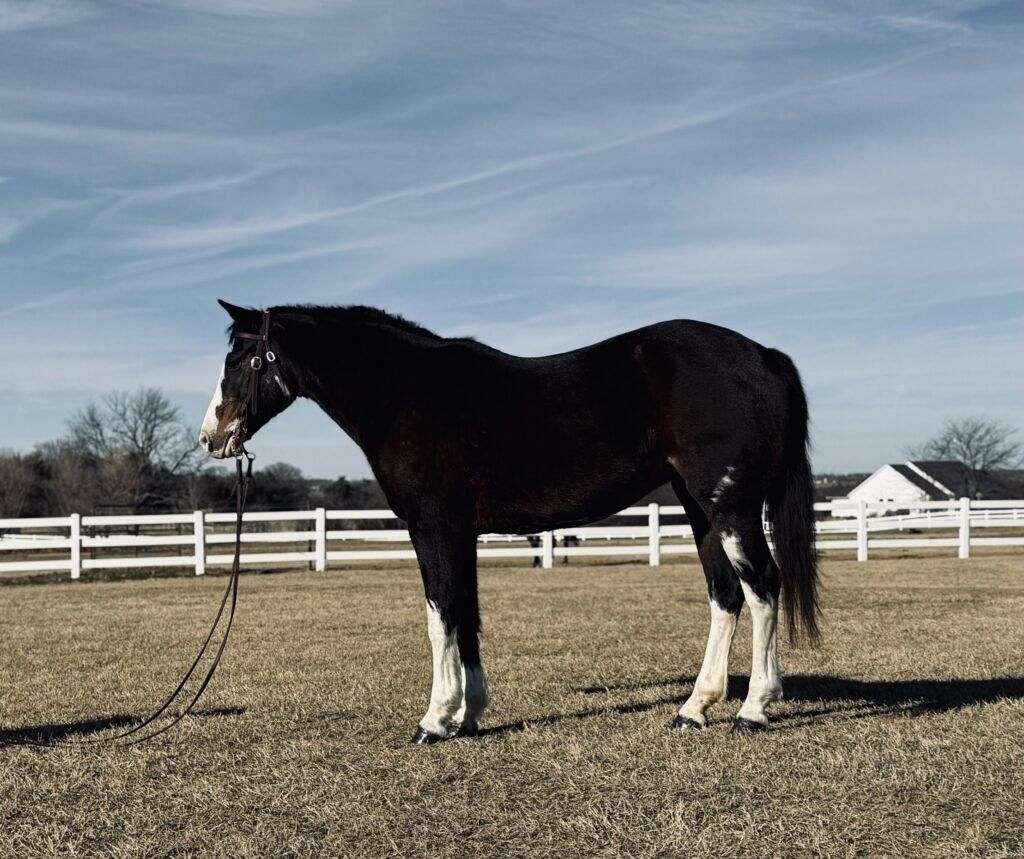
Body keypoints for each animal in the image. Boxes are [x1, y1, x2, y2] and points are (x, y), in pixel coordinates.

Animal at [200, 300, 820, 743]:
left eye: (240, 362)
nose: (212, 437)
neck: (406, 394)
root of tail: (764, 356)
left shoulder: (433, 530)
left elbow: (441, 619)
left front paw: (435, 721)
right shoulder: (462, 536)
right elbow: (467, 618)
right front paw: (469, 715)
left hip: (732, 509)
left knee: (763, 587)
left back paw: (754, 708)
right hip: (701, 511)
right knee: (725, 597)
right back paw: (694, 709)